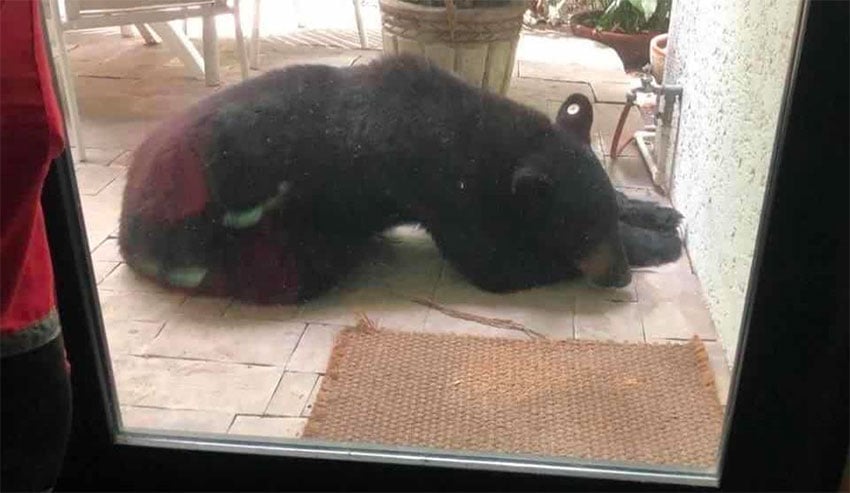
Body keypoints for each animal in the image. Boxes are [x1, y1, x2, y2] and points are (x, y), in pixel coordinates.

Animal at [119, 54, 682, 304]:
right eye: (579, 230)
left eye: (598, 218)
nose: (619, 277)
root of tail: (127, 232)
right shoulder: (448, 196)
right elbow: (503, 265)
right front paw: (654, 244)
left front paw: (654, 211)